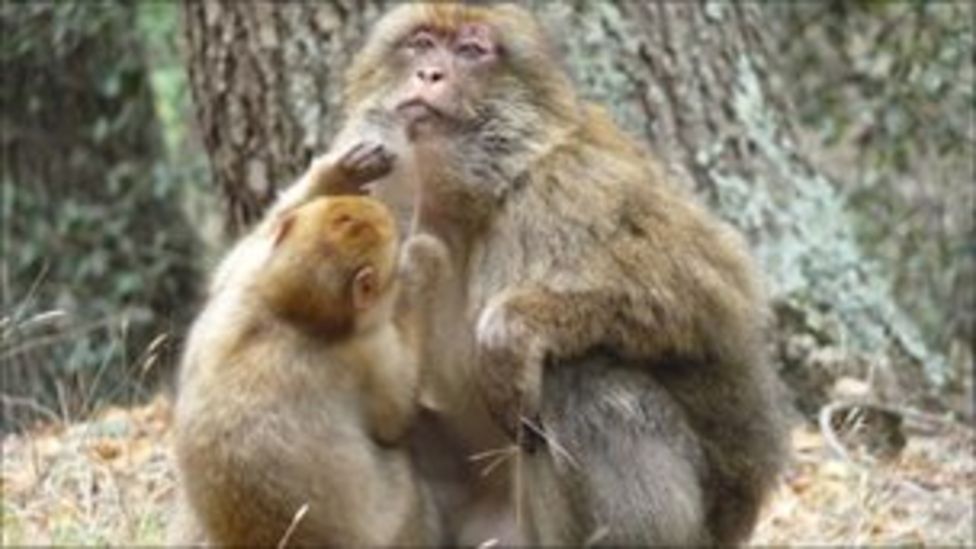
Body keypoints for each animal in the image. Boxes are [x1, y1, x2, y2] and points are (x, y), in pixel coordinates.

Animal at [170, 160, 449, 545]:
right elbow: (395, 416)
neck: (288, 311)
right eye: (387, 275)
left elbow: (228, 268)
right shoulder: (365, 350)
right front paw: (421, 260)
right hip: (404, 520)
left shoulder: (244, 284)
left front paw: (334, 175)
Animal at [332, 3, 789, 545]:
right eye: (421, 44)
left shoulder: (572, 187)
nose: (429, 74)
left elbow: (712, 294)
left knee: (582, 379)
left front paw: (509, 333)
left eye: (470, 51)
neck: (465, 204)